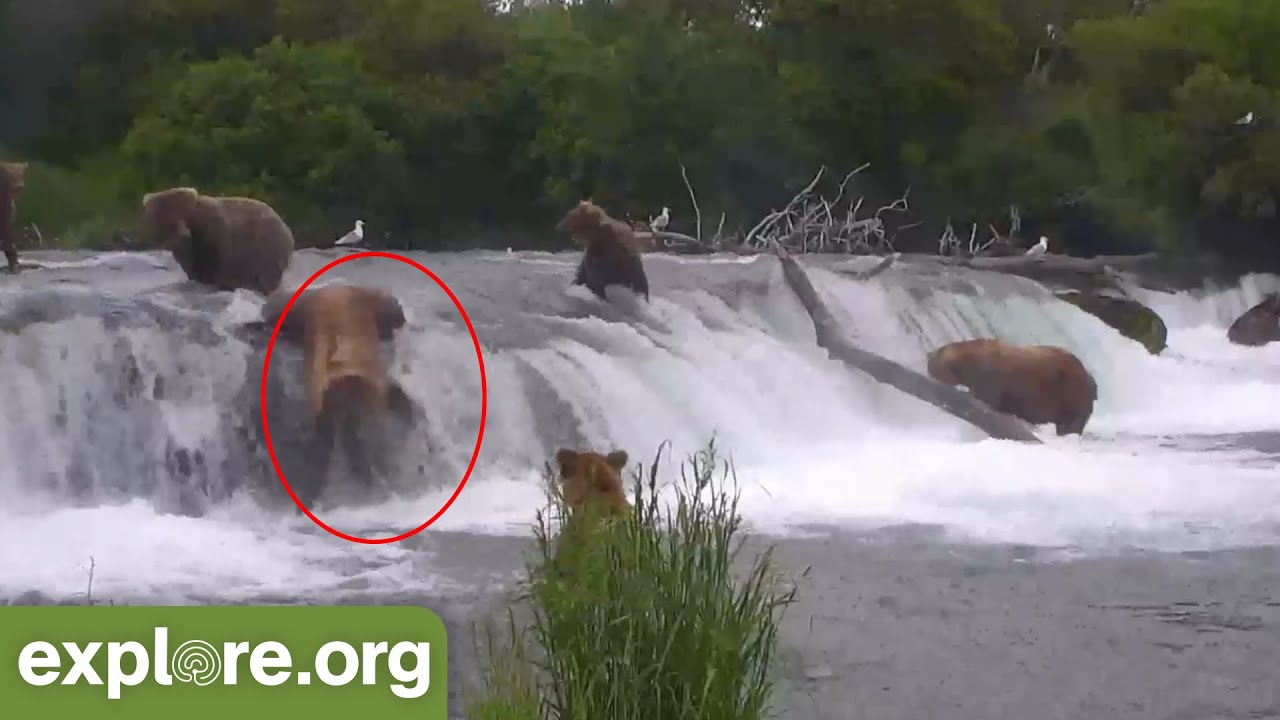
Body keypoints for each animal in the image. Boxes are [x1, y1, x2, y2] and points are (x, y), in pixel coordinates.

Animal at [140, 186, 295, 295]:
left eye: (172, 217)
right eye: (154, 218)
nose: (167, 241)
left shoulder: (212, 234)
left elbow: (210, 262)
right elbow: (191, 265)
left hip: (266, 248)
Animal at [925, 337, 1098, 436]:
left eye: (937, 354)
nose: (928, 355)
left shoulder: (991, 380)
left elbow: (986, 400)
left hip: (1070, 394)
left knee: (1071, 423)